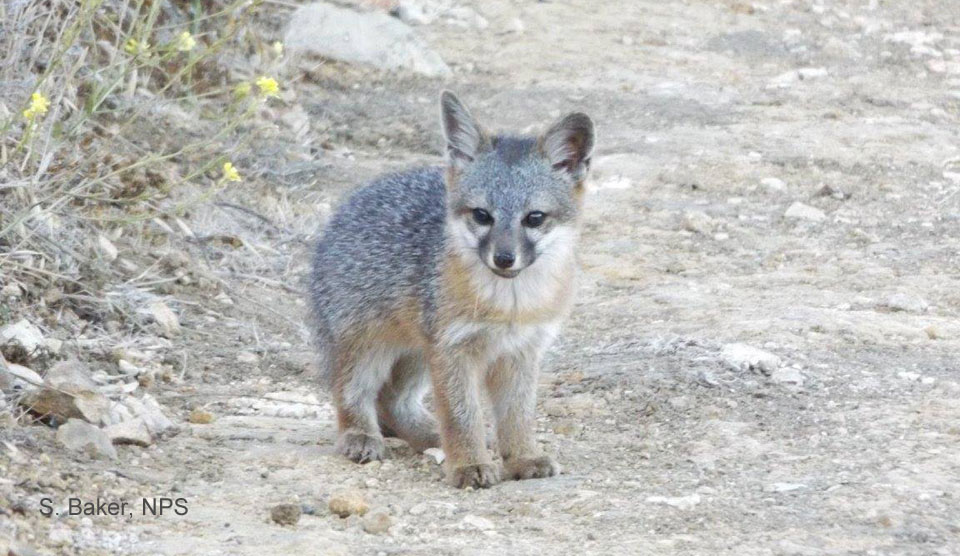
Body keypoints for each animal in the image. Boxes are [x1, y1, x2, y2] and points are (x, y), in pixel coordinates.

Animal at [308, 91, 595, 489]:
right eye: (482, 215)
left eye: (534, 218)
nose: (504, 258)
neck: (509, 307)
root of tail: (355, 197)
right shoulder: (453, 349)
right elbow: (462, 415)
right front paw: (469, 464)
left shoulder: (521, 351)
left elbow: (517, 416)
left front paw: (523, 456)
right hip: (370, 348)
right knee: (353, 393)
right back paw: (361, 435)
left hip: (416, 354)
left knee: (392, 401)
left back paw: (429, 436)